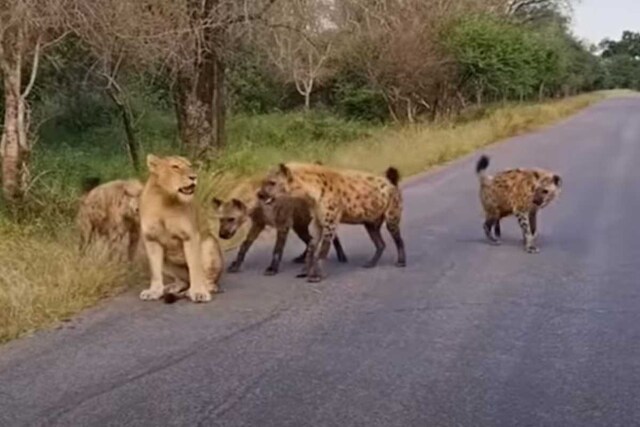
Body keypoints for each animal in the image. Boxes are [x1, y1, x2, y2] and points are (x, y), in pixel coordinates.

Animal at [138, 154, 224, 303]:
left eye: (190, 166)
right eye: (175, 167)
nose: (194, 177)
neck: (164, 201)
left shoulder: (190, 236)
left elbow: (195, 267)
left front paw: (198, 292)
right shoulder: (151, 240)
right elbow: (155, 271)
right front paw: (154, 291)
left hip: (209, 244)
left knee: (208, 280)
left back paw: (200, 290)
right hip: (167, 261)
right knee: (183, 281)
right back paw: (170, 288)